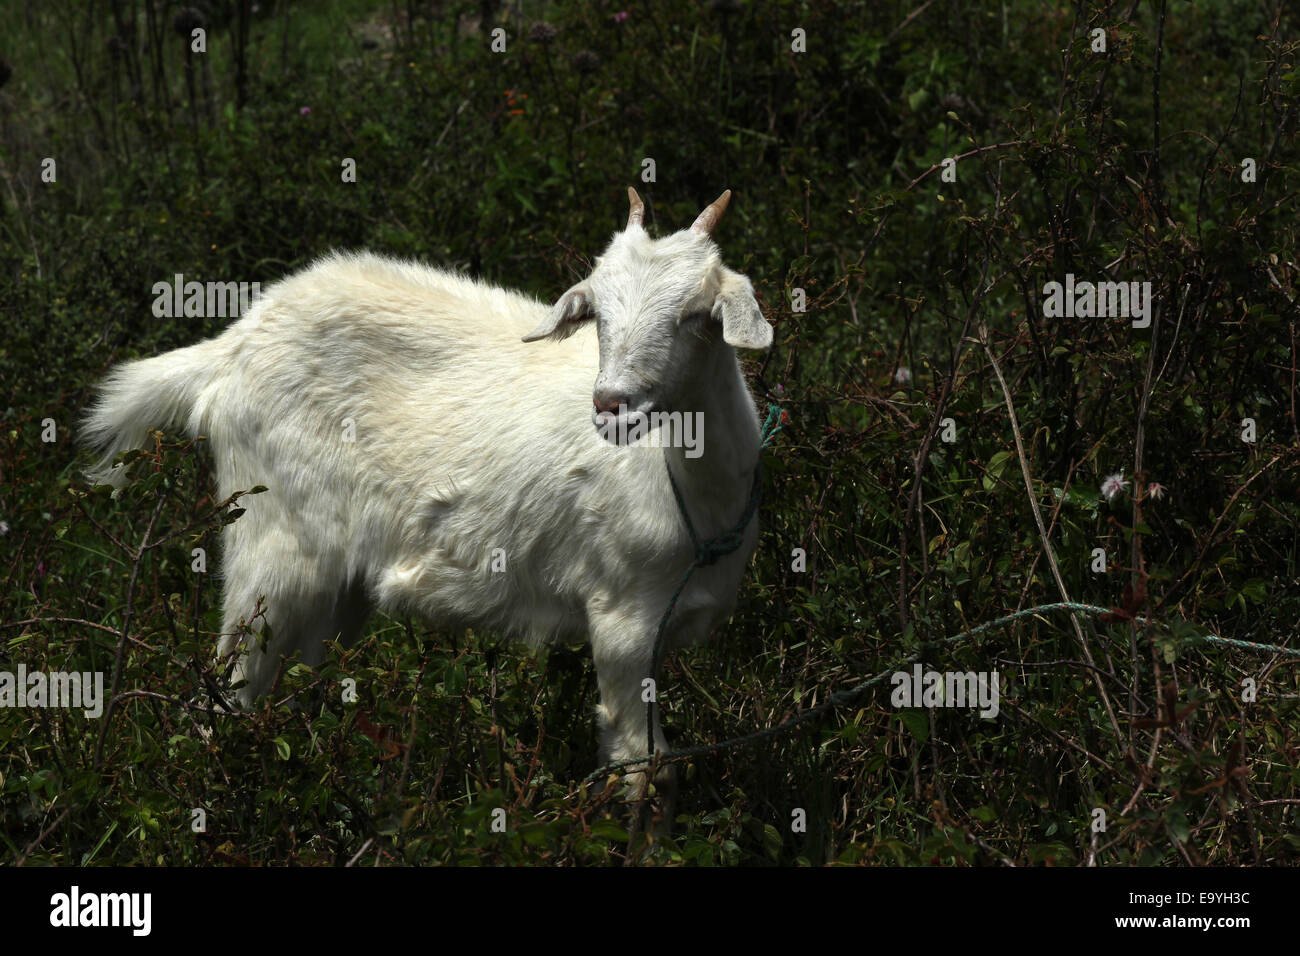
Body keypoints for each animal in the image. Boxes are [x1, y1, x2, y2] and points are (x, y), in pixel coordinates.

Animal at [82, 188, 772, 813]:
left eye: (695, 314)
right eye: (597, 312)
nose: (611, 405)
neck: (691, 495)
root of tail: (228, 352)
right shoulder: (622, 621)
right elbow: (646, 774)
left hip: (338, 592)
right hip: (273, 542)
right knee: (228, 692)